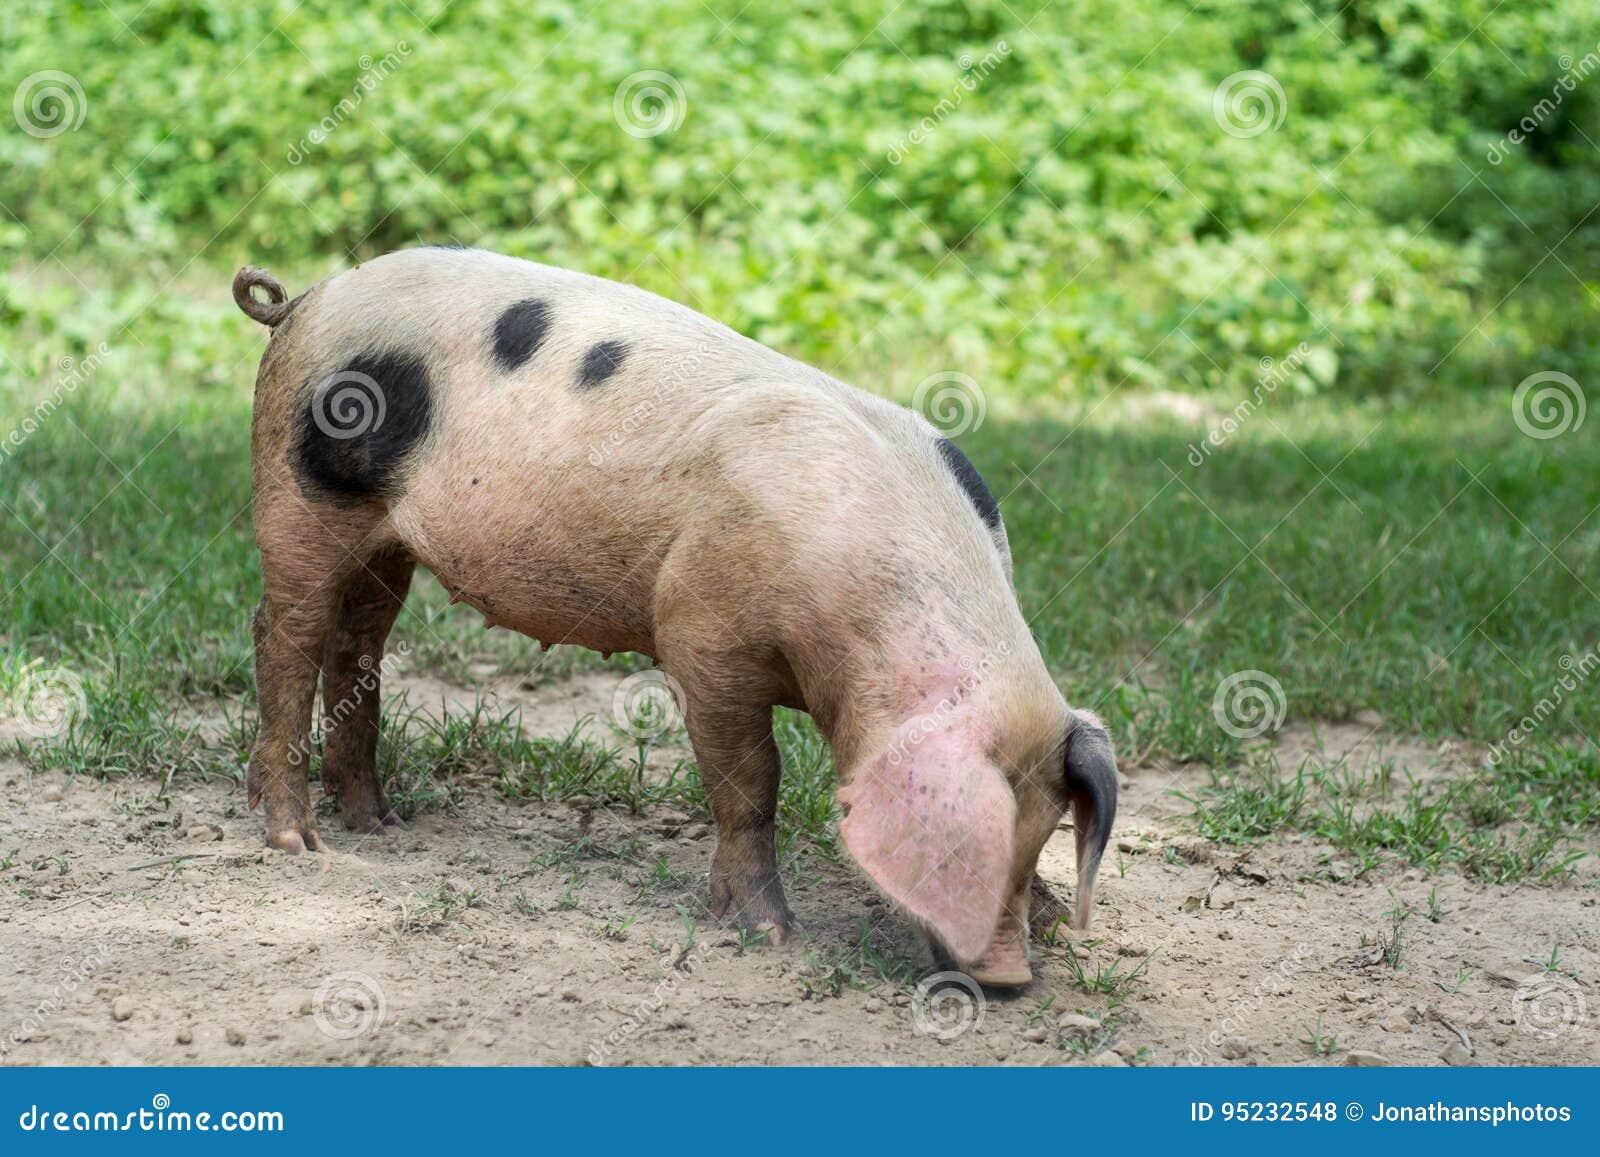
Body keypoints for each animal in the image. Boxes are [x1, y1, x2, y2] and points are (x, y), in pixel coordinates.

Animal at [232, 246, 1115, 986]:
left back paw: (378, 823)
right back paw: (298, 840)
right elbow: (751, 780)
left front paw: (1049, 915)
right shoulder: (701, 630)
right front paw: (769, 932)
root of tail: (306, 301)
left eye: (1039, 833)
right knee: (286, 637)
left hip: (384, 540)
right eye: (956, 844)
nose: (1009, 977)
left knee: (358, 647)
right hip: (298, 488)